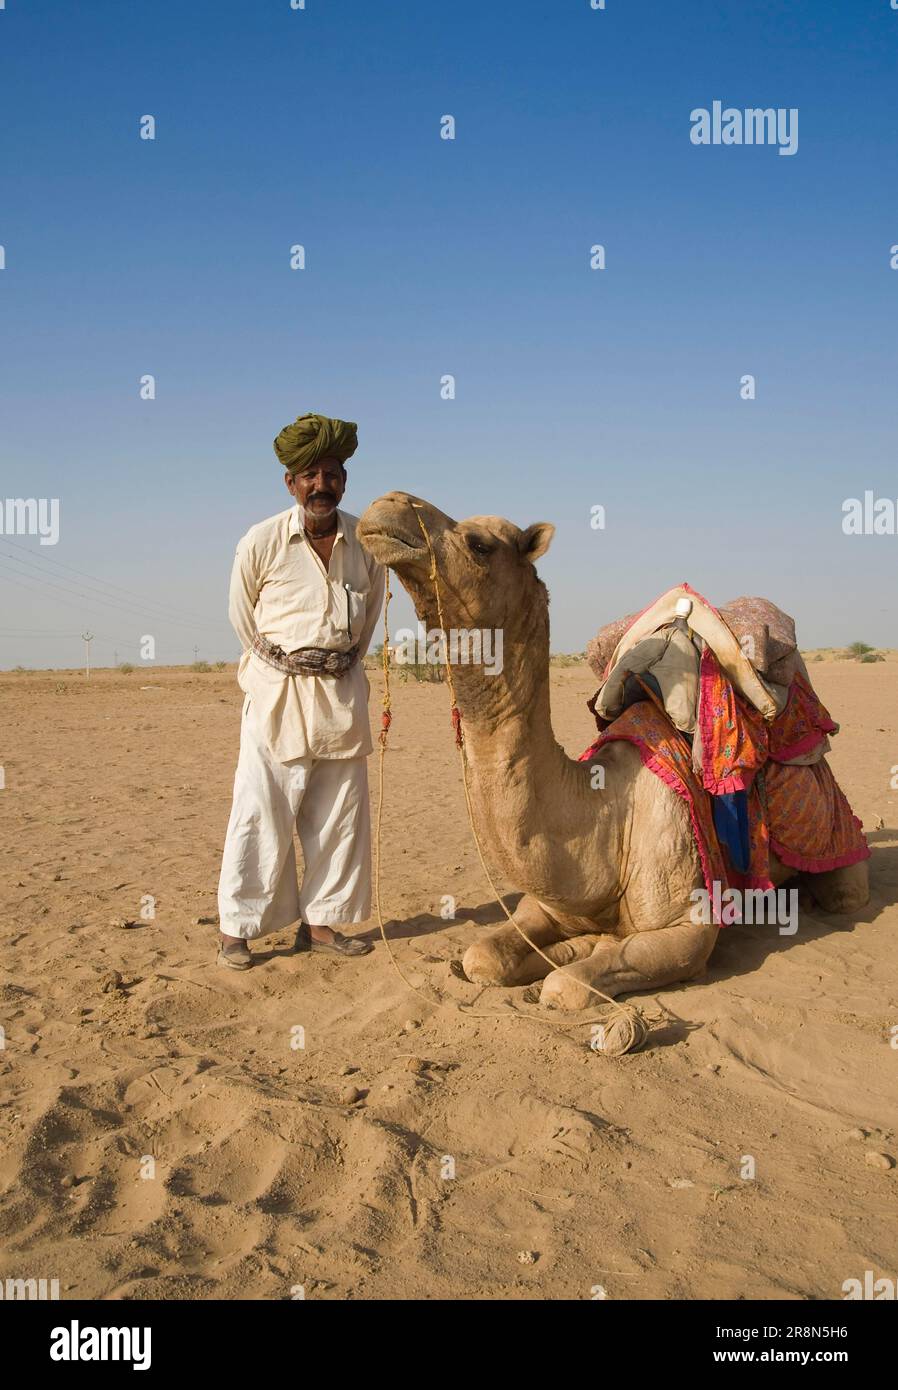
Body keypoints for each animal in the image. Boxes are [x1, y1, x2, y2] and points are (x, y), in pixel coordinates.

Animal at [357, 492, 870, 1011]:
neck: (605, 821)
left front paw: (577, 959)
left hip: (837, 838)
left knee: (845, 894)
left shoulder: (688, 927)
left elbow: (567, 986)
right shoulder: (544, 903)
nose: (389, 502)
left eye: (479, 543)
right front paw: (571, 946)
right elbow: (483, 957)